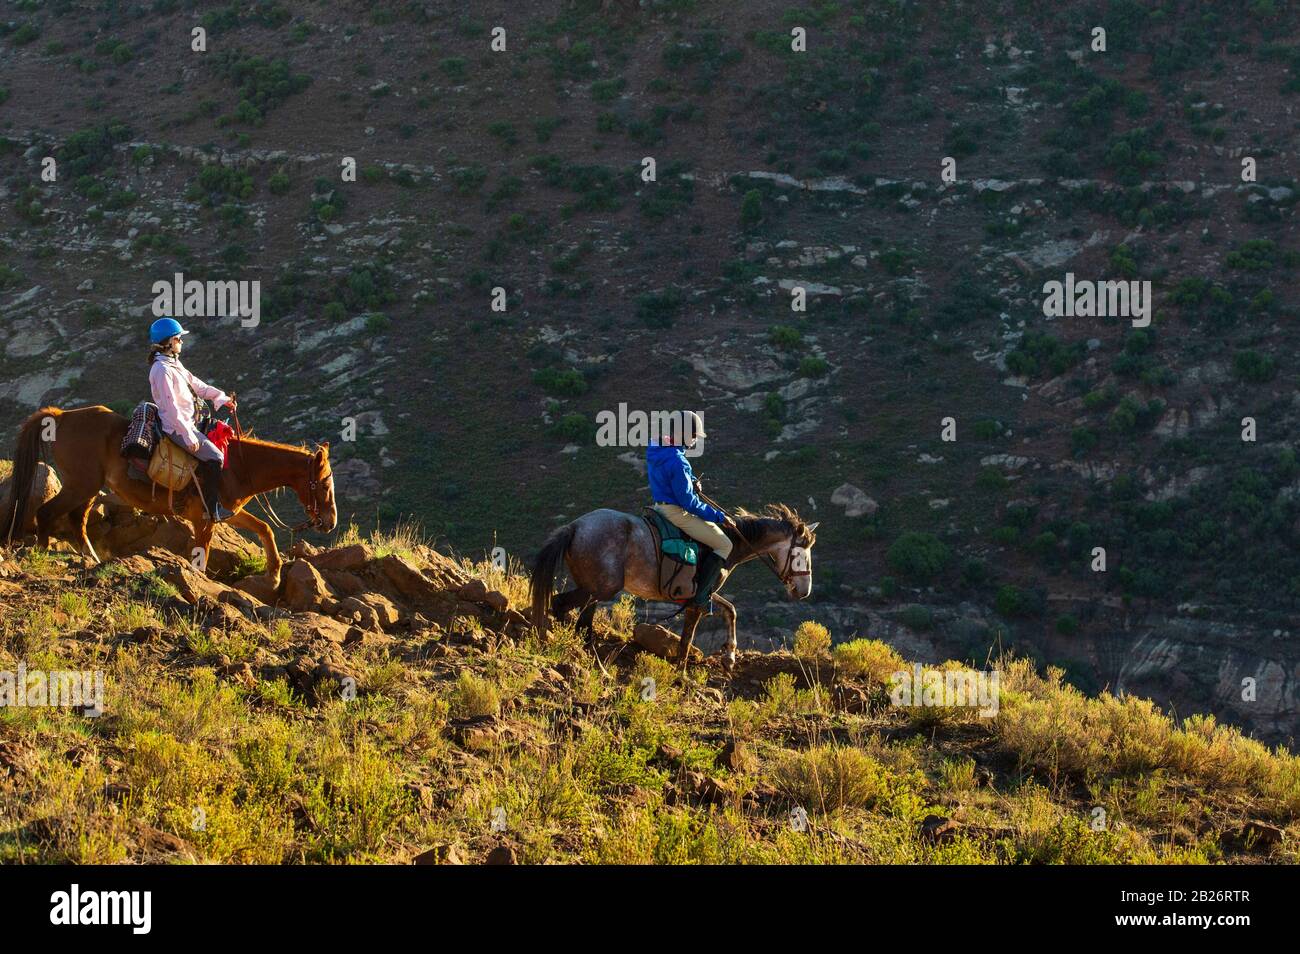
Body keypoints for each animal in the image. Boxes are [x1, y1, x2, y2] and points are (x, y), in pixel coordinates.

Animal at [0, 405, 337, 587]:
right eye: (323, 485)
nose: (330, 522)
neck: (238, 467)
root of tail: (61, 416)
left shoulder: (226, 513)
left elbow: (264, 528)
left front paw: (275, 575)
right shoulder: (205, 518)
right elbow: (201, 555)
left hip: (86, 488)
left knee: (76, 521)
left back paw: (91, 558)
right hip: (80, 485)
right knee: (47, 513)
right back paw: (42, 552)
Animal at [530, 503, 818, 670]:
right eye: (801, 554)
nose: (804, 591)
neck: (731, 542)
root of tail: (575, 527)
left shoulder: (705, 595)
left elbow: (731, 611)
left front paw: (730, 657)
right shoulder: (698, 602)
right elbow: (687, 640)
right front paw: (681, 673)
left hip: (591, 588)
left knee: (567, 609)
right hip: (600, 589)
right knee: (574, 614)